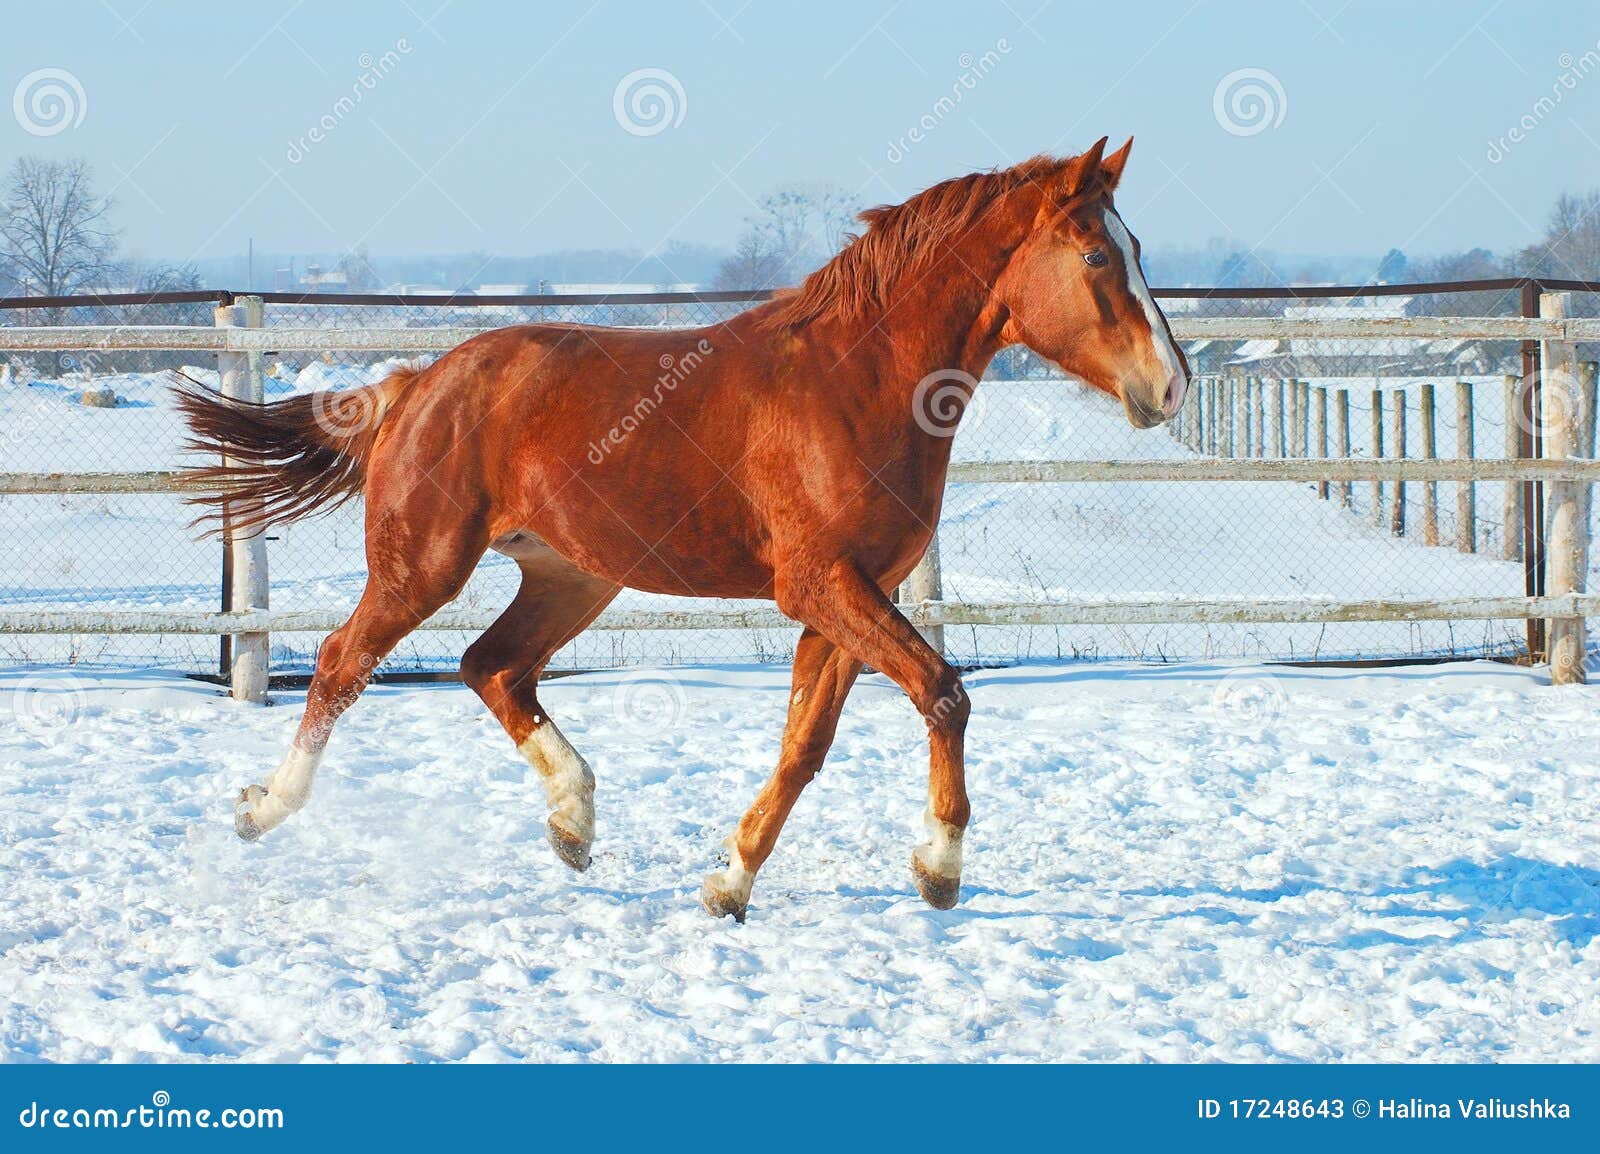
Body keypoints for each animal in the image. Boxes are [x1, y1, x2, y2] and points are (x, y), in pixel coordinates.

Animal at [177, 136, 1188, 922]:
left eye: (1136, 247)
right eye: (1098, 259)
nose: (1171, 386)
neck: (859, 380)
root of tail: (415, 384)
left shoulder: (850, 598)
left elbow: (804, 746)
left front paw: (729, 884)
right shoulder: (820, 584)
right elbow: (942, 692)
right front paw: (938, 870)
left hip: (573, 575)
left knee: (492, 666)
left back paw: (574, 821)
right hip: (421, 566)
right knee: (344, 664)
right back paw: (262, 810)